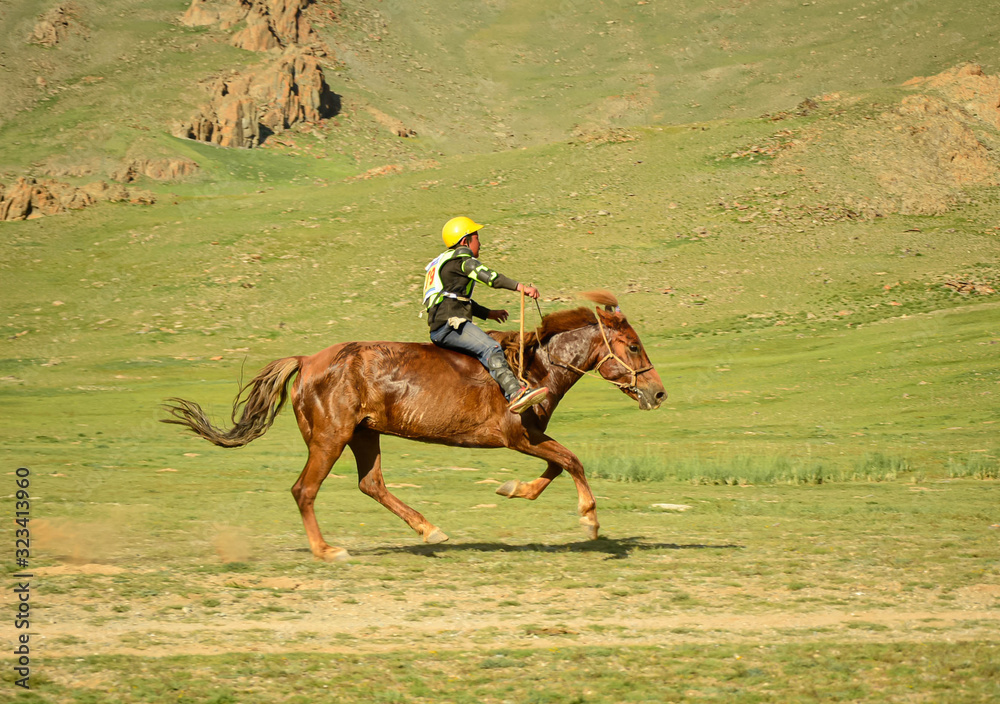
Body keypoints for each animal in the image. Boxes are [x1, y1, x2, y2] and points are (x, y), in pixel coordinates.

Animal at [161, 290, 666, 562]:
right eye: (634, 346)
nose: (659, 393)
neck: (535, 366)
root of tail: (307, 361)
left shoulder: (529, 440)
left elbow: (558, 465)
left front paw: (514, 490)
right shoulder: (519, 436)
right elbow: (571, 461)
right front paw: (590, 520)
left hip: (364, 435)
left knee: (371, 484)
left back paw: (429, 530)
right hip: (330, 438)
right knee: (305, 490)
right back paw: (328, 550)